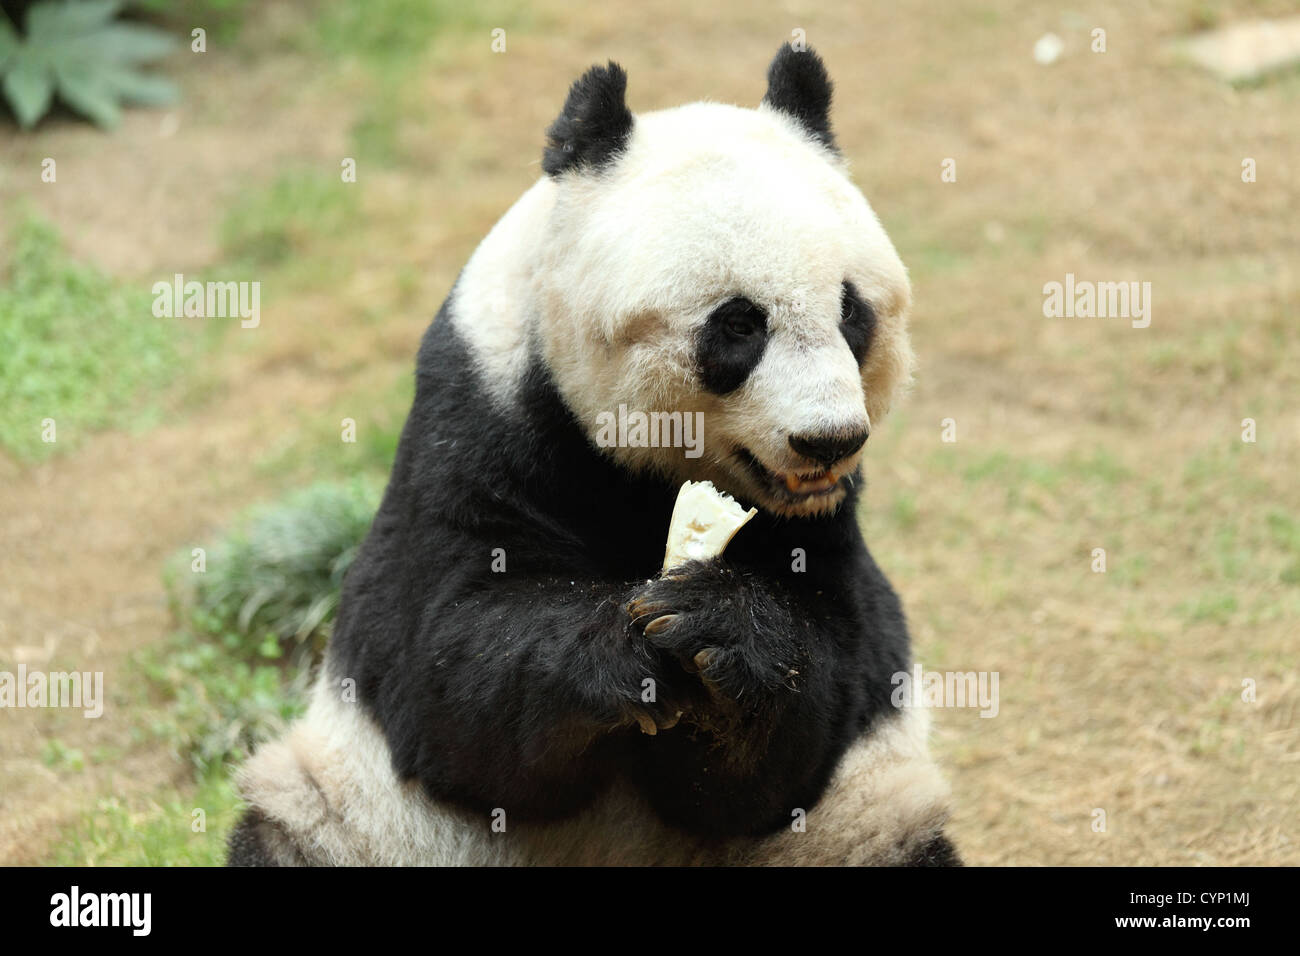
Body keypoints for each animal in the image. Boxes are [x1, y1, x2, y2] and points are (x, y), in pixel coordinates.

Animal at [227, 43, 958, 866]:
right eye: (739, 324)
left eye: (851, 311)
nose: (828, 439)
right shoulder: (474, 419)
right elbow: (444, 657)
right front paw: (621, 649)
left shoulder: (826, 525)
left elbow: (814, 702)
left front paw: (716, 626)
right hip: (354, 820)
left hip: (863, 828)